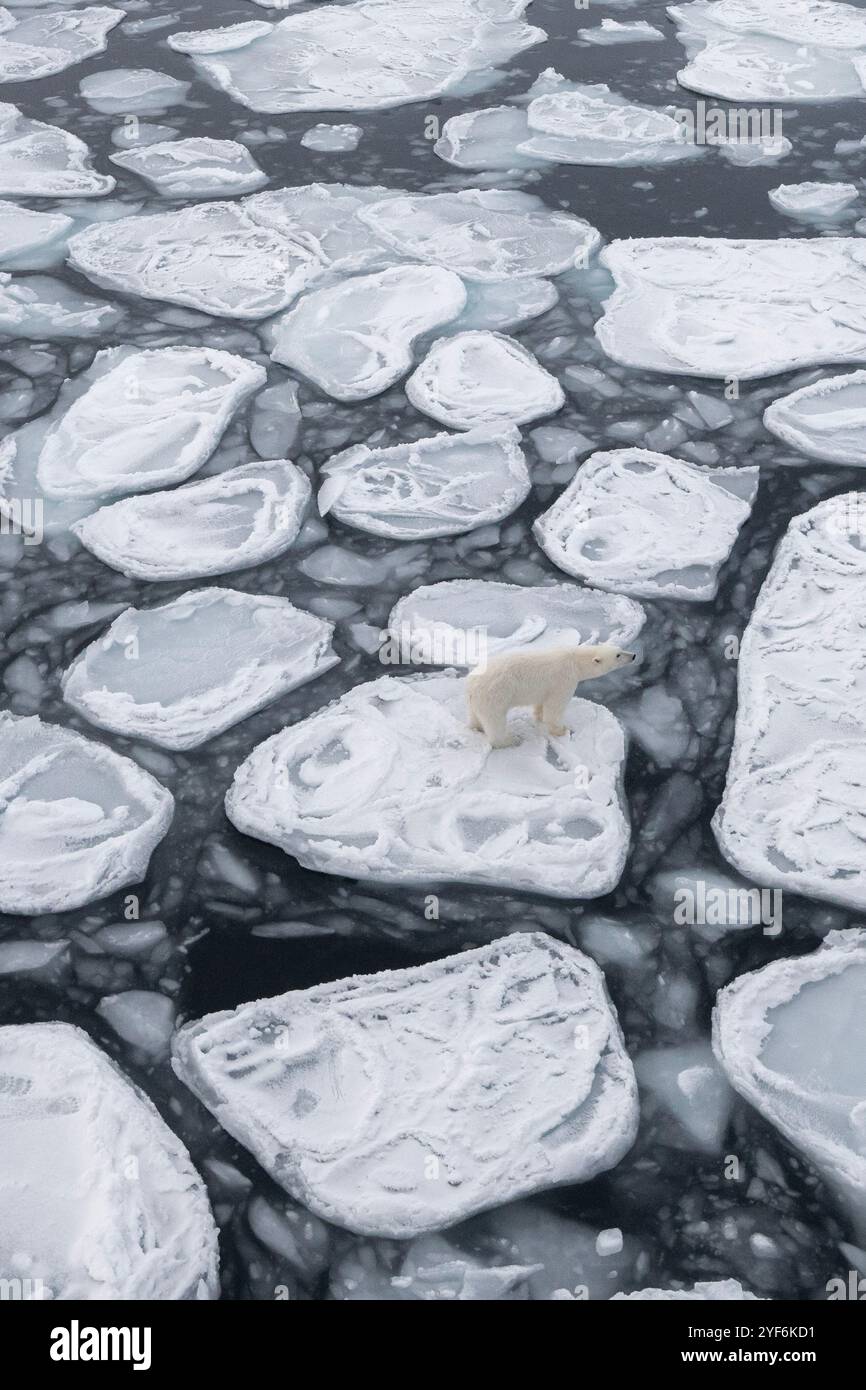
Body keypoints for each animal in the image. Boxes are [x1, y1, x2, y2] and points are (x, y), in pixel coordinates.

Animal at [466, 642, 636, 748]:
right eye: (618, 655)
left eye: (620, 649)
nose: (633, 655)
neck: (575, 661)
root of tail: (471, 684)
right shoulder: (564, 680)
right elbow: (554, 709)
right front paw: (562, 730)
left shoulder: (546, 688)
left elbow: (542, 703)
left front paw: (539, 715)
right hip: (495, 694)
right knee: (495, 722)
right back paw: (511, 740)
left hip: (478, 700)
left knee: (476, 716)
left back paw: (477, 728)